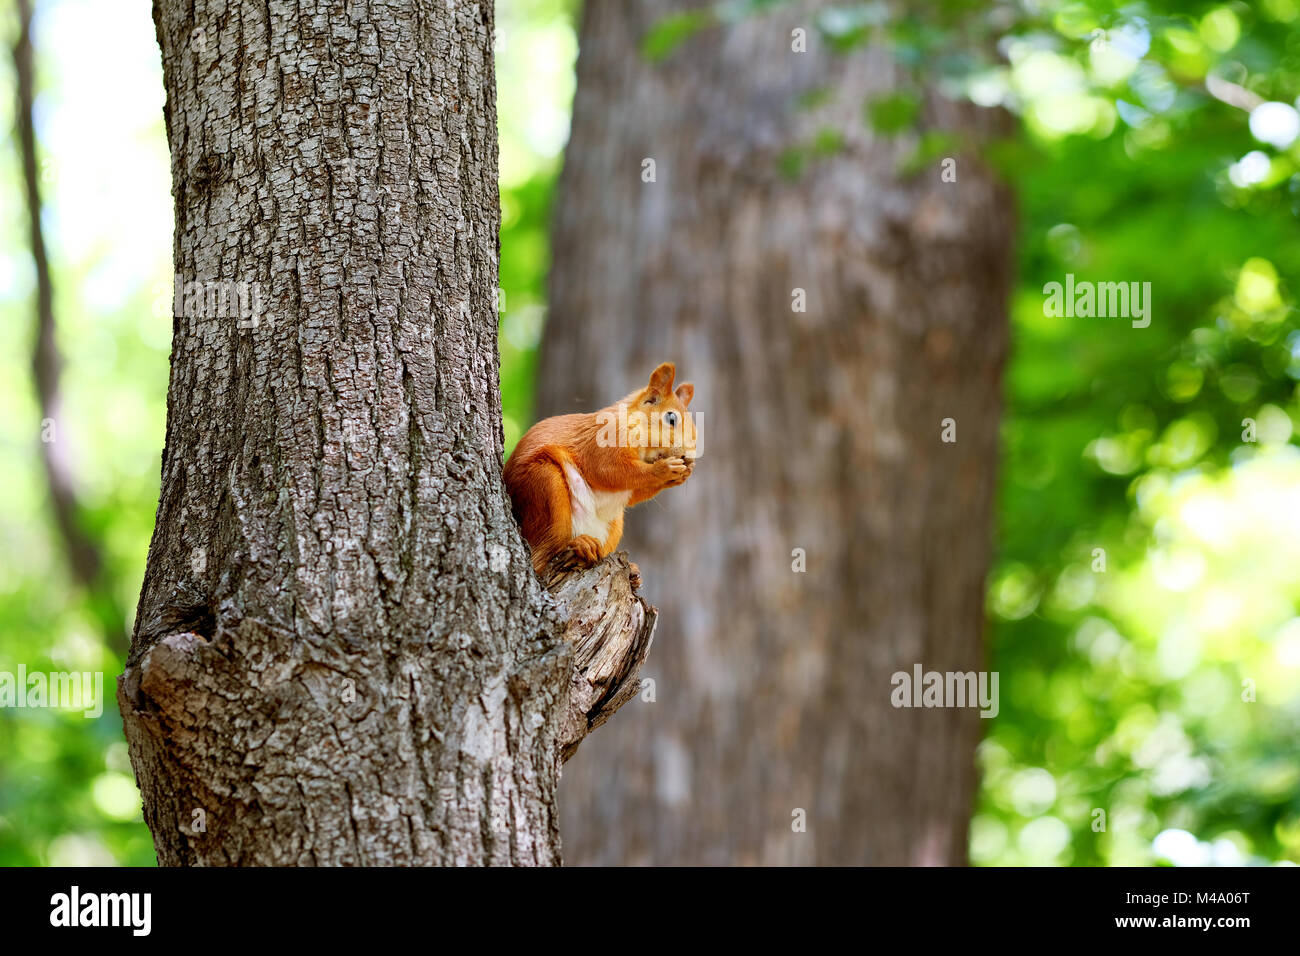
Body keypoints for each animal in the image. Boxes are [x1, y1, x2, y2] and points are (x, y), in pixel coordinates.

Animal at [504, 362, 697, 580]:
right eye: (671, 417)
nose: (690, 455)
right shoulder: (604, 440)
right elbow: (609, 471)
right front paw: (663, 469)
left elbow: (634, 494)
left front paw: (684, 472)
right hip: (545, 488)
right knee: (545, 552)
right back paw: (580, 545)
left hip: (614, 526)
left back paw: (631, 571)